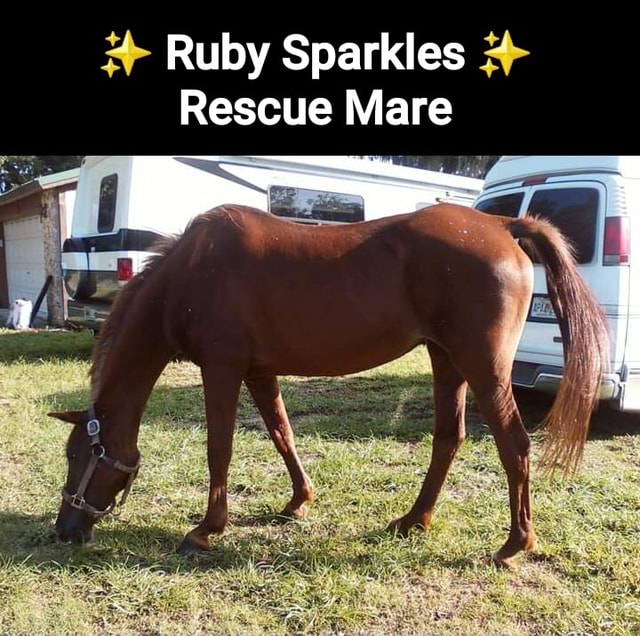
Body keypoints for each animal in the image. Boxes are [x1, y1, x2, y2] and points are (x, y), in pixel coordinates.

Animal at [50, 203, 609, 567]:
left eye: (79, 455)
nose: (64, 530)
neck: (187, 273)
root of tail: (501, 225)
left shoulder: (222, 369)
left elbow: (220, 449)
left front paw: (206, 530)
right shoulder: (258, 371)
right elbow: (282, 434)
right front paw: (299, 502)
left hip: (482, 367)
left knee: (514, 445)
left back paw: (515, 545)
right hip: (446, 359)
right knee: (449, 438)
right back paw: (414, 520)